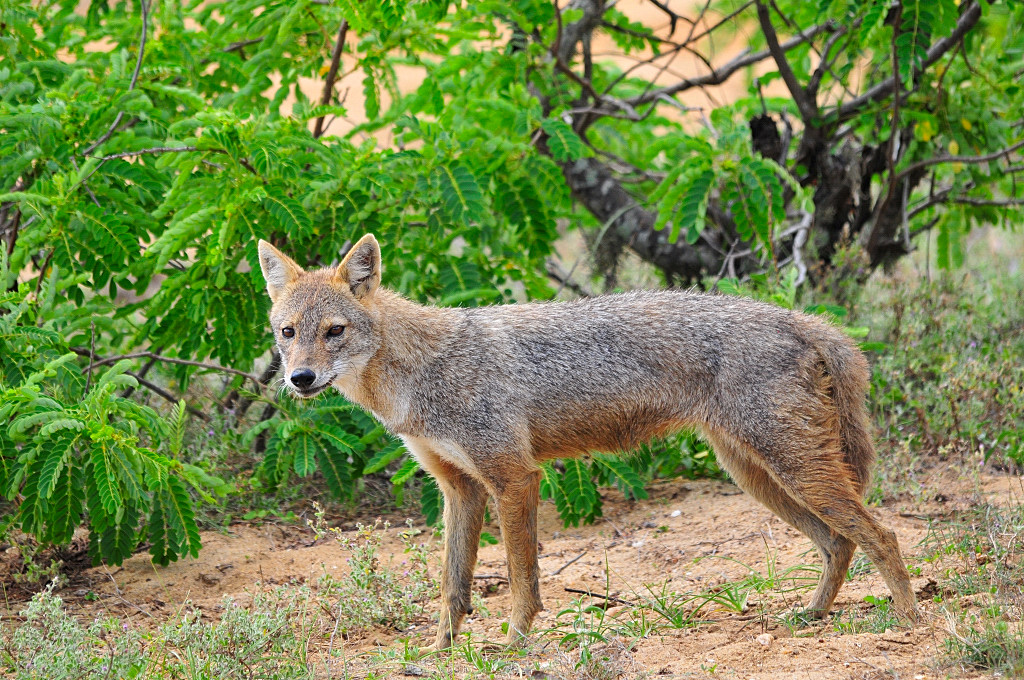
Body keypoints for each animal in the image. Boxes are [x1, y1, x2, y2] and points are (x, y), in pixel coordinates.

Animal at [256, 233, 919, 650]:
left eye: (334, 331)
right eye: (287, 333)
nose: (300, 379)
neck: (421, 371)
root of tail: (803, 319)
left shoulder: (514, 478)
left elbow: (521, 579)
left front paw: (514, 644)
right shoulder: (460, 490)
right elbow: (453, 586)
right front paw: (441, 651)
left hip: (793, 470)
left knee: (881, 535)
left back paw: (910, 623)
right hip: (758, 475)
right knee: (839, 543)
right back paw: (812, 615)